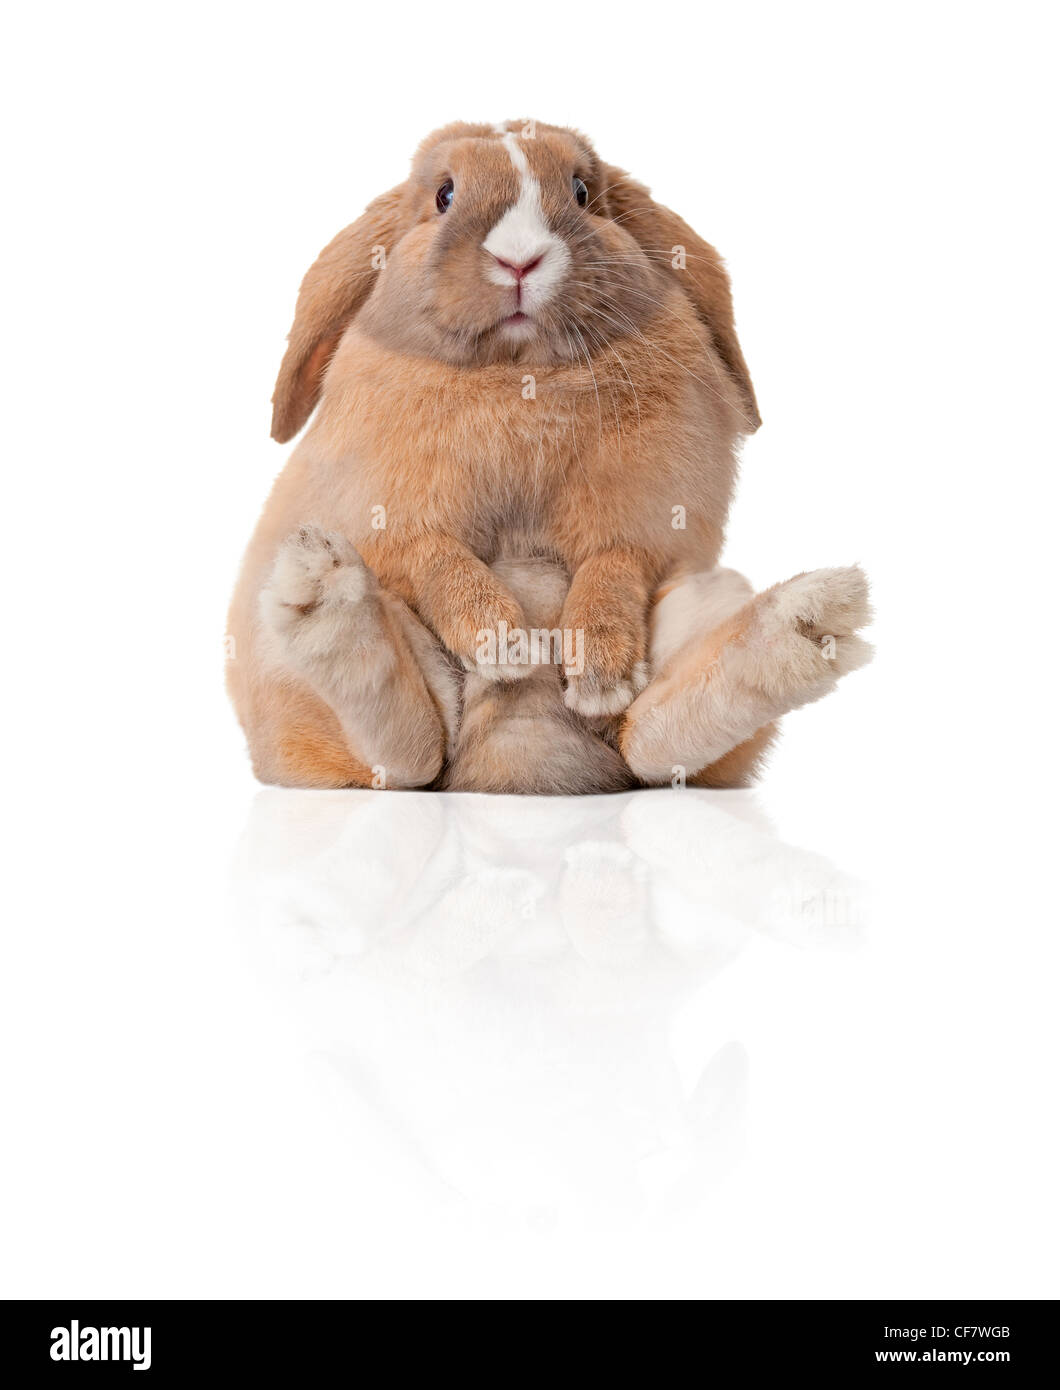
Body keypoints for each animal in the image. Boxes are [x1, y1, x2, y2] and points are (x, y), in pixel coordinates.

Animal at [226, 120, 872, 793]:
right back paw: (324, 594)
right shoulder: (394, 518)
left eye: (583, 192)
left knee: (653, 742)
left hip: (704, 598)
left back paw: (806, 623)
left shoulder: (642, 526)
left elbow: (611, 567)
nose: (519, 259)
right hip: (277, 661)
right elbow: (438, 560)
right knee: (407, 751)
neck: (521, 374)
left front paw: (599, 673)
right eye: (444, 195)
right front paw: (507, 648)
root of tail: (510, 770)